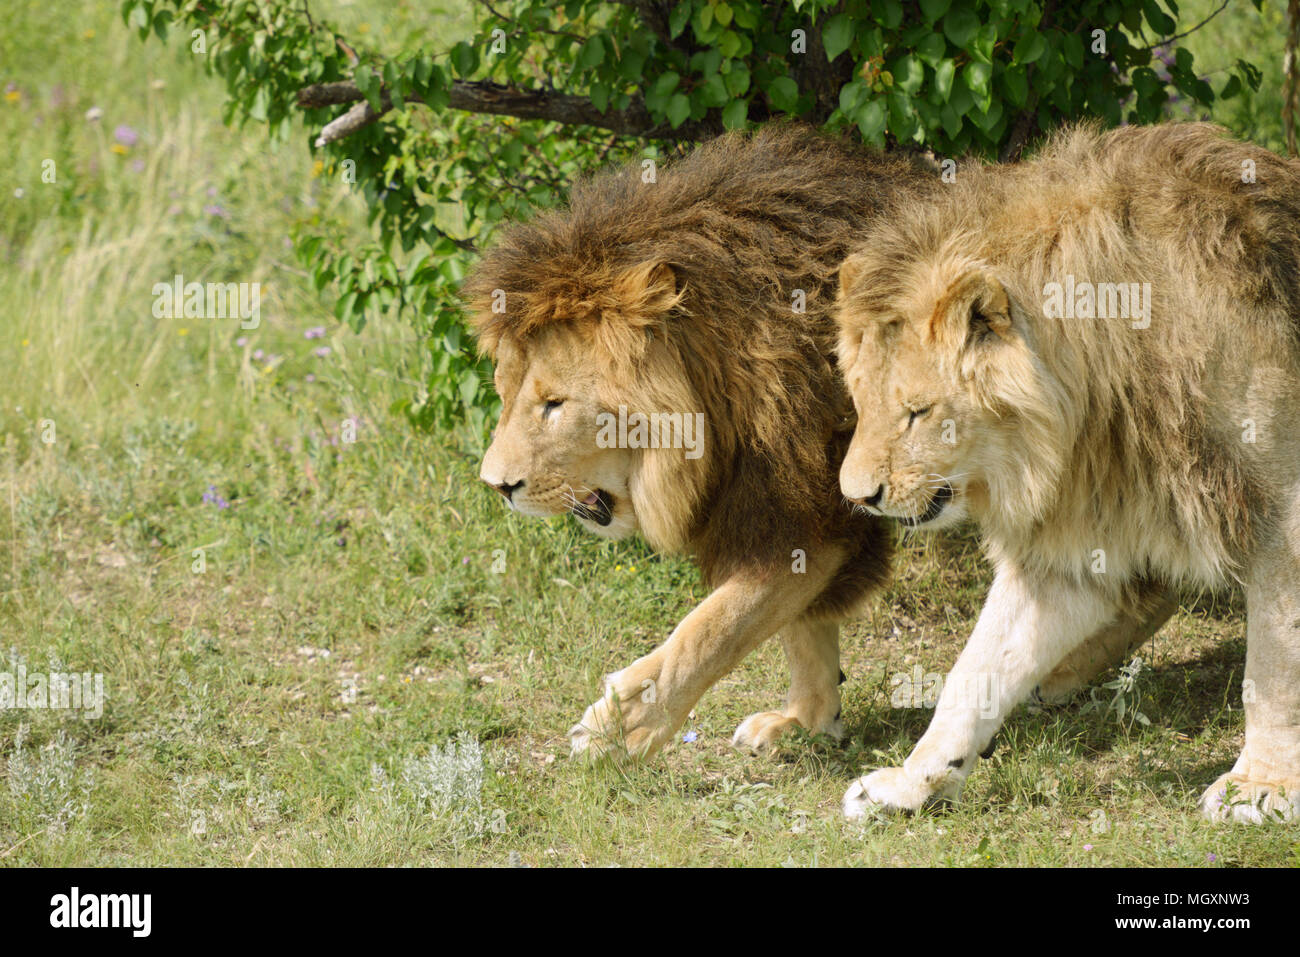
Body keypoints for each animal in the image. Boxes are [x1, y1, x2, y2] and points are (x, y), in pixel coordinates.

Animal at [462, 123, 1174, 762]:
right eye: (505, 392)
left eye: (554, 404)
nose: (497, 486)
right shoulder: (787, 504)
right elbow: (796, 630)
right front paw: (807, 720)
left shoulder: (812, 509)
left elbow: (710, 630)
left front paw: (620, 728)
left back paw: (1065, 669)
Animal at [834, 121, 1300, 822]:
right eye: (863, 403)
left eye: (918, 412)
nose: (859, 497)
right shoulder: (1070, 552)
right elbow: (976, 672)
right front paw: (913, 782)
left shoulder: (1282, 513)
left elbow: (1274, 664)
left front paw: (1262, 786)